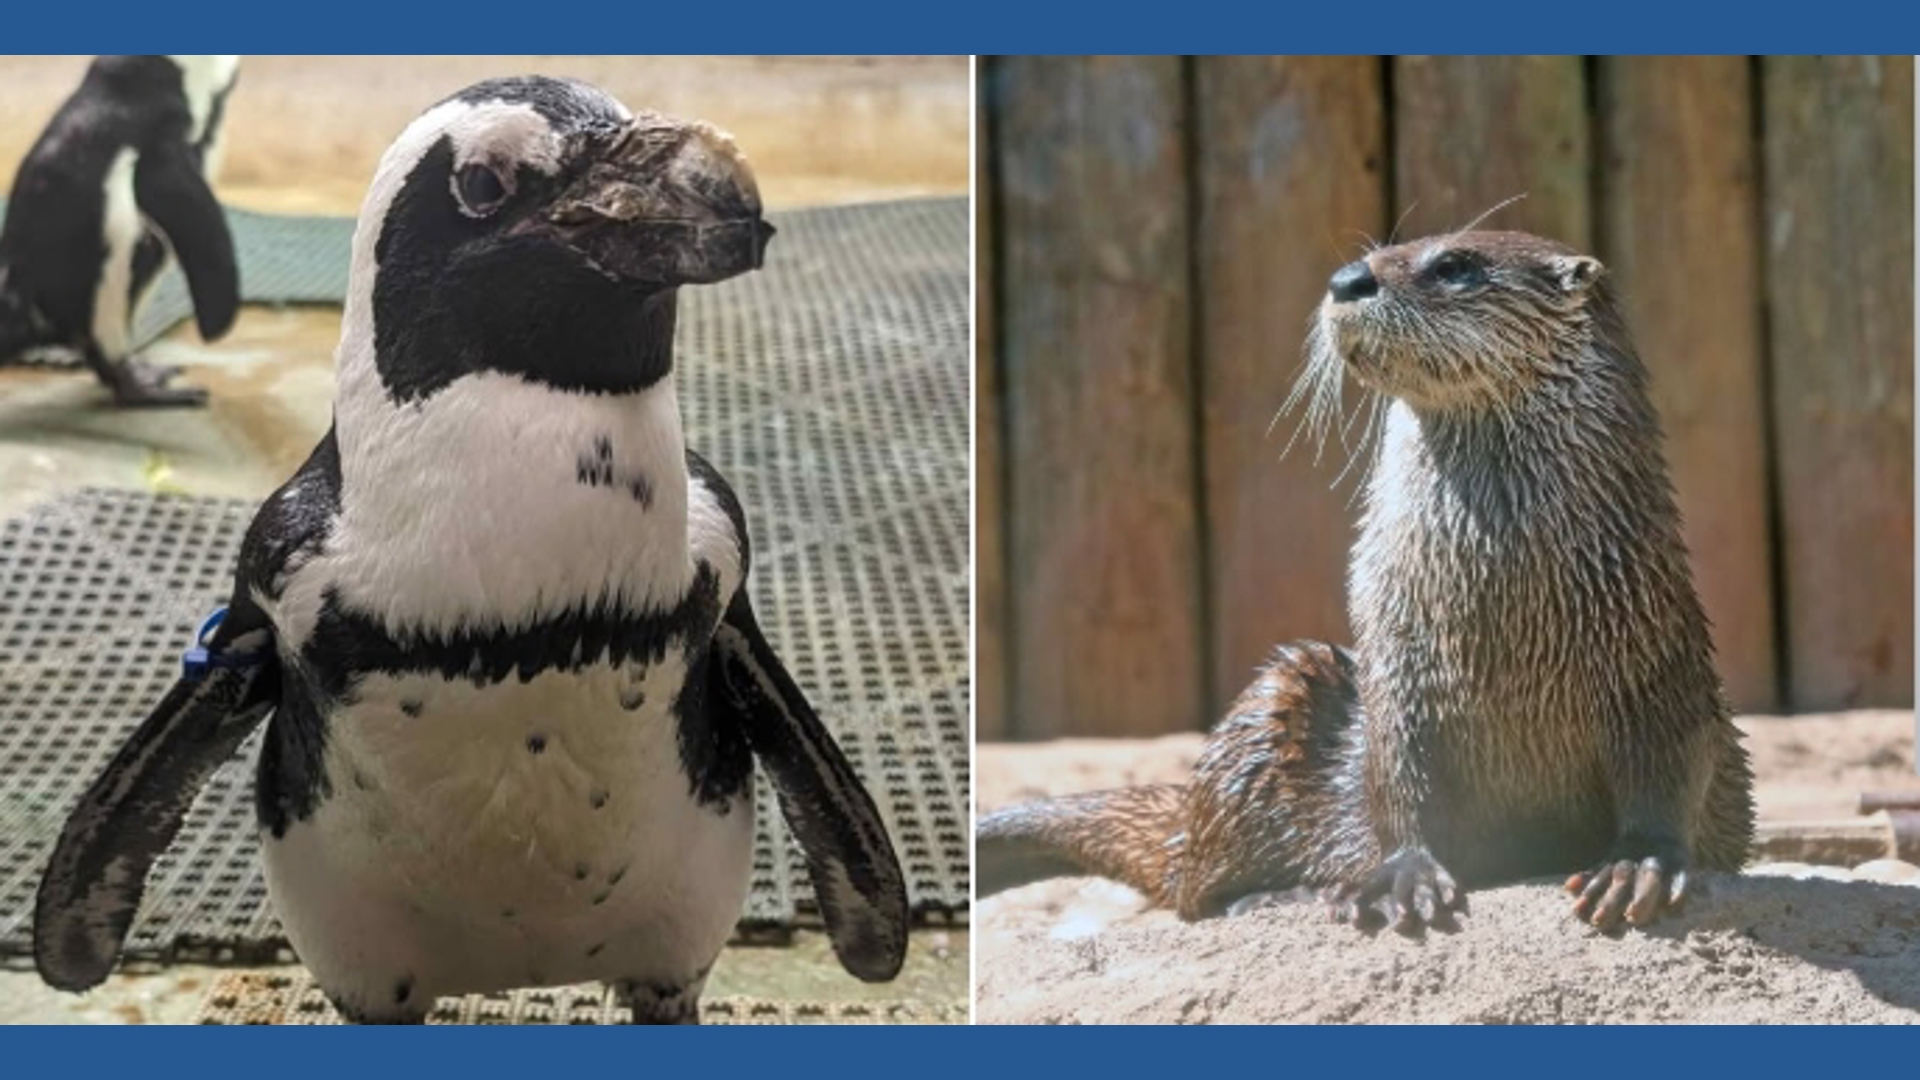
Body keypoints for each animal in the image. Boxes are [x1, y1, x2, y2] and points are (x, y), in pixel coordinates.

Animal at [977, 230, 1754, 933]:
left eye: (1455, 265)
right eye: (1383, 248)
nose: (1347, 279)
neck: (1502, 625)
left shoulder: (1659, 657)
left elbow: (1670, 769)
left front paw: (1634, 866)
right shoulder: (1396, 668)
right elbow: (1397, 778)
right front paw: (1402, 876)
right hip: (1272, 700)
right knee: (1190, 887)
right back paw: (1280, 894)